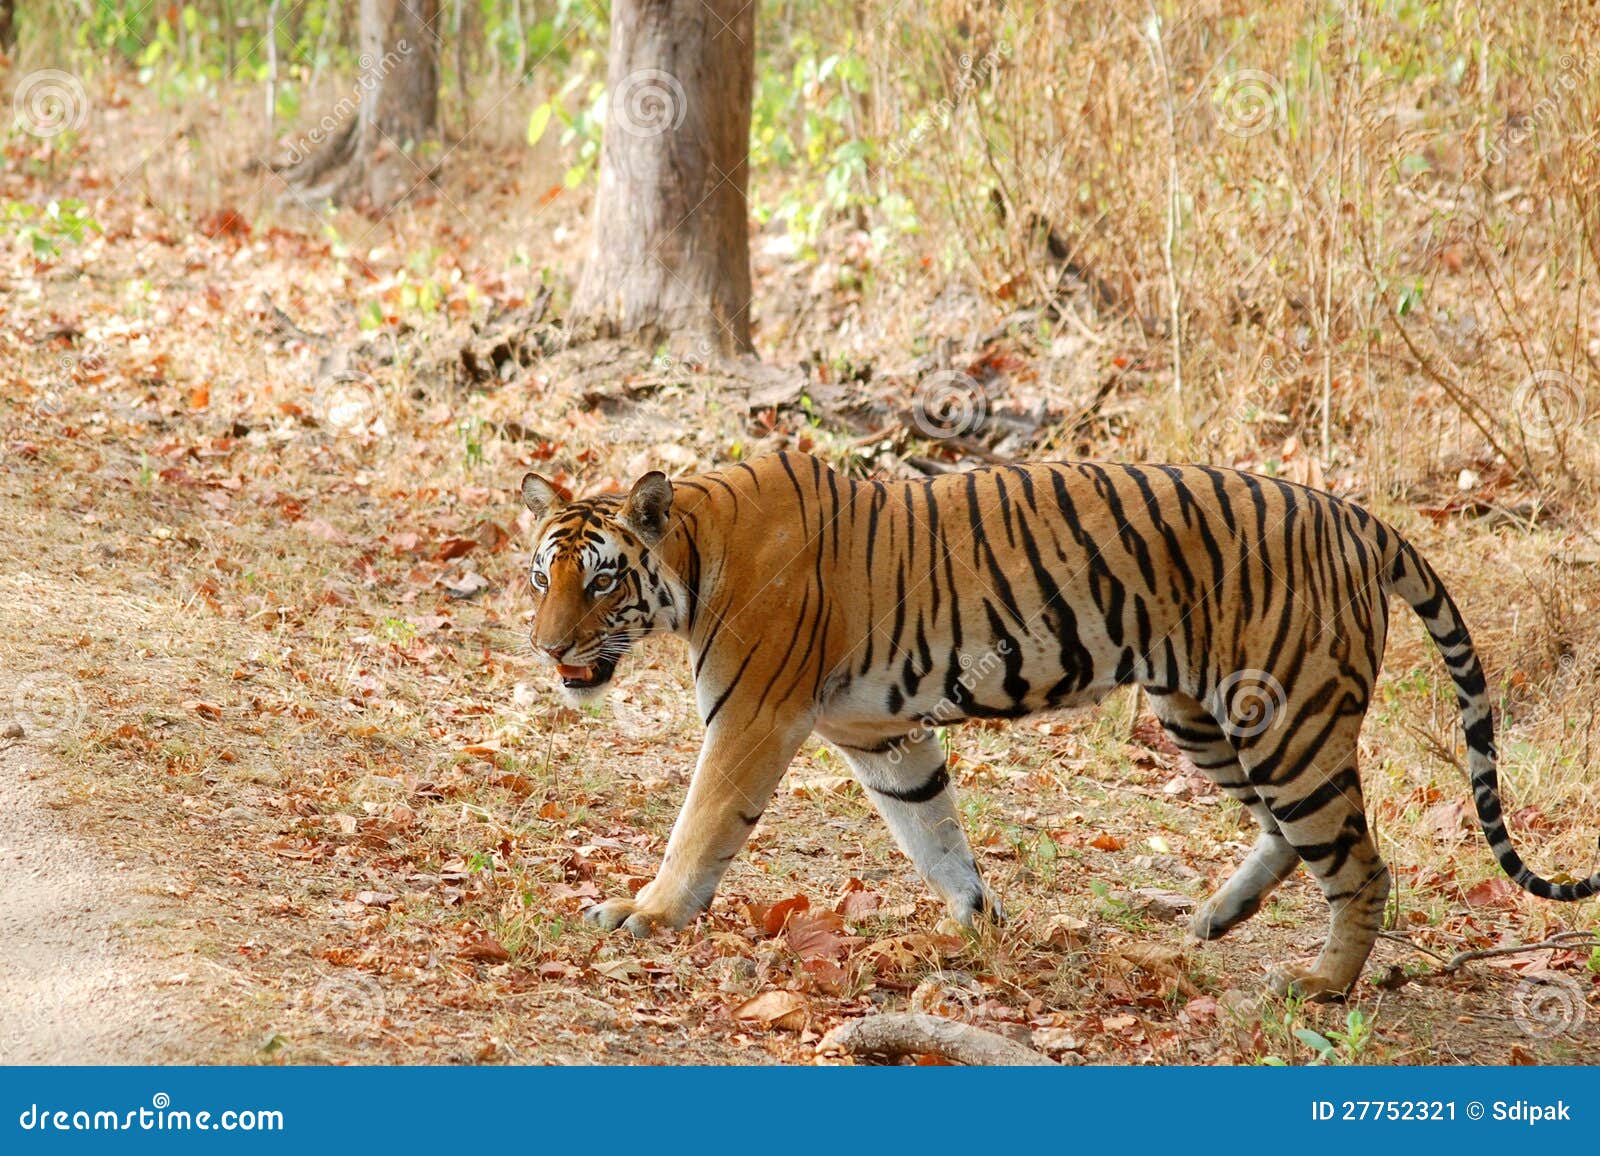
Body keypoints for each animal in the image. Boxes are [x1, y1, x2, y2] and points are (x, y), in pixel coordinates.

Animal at [518, 450, 1598, 999]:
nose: (545, 646)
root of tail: (1355, 516)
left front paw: (647, 911)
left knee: (1361, 862)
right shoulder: (881, 733)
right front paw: (980, 926)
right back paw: (1215, 916)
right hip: (1205, 714)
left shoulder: (751, 716)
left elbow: (700, 823)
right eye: (541, 575)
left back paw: (1318, 983)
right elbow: (933, 831)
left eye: (600, 581)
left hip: (1283, 719)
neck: (694, 554)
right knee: (1294, 836)